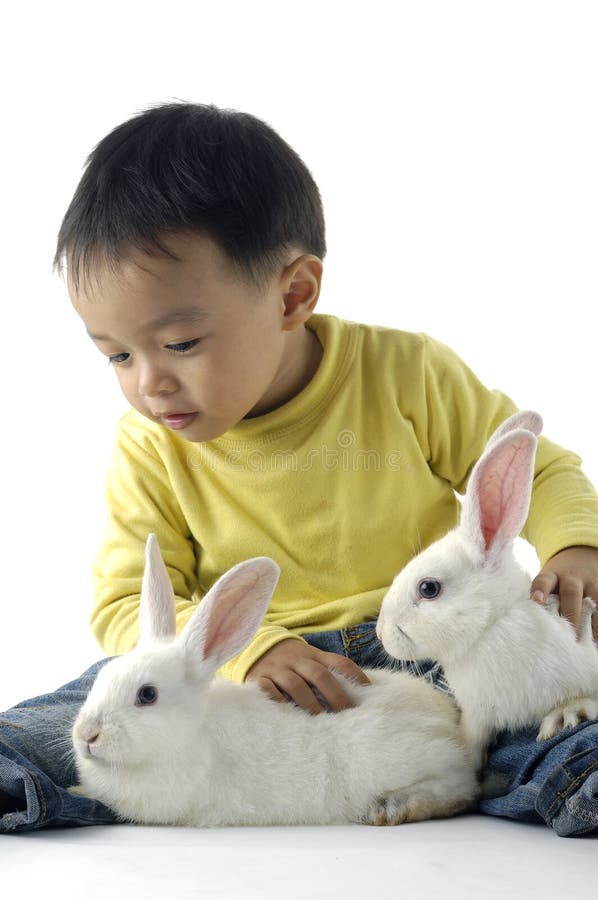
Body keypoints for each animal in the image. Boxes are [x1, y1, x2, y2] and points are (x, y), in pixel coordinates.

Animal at [70, 534, 479, 827]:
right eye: (102, 678)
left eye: (147, 695)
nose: (87, 735)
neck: (192, 732)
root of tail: (453, 723)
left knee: (462, 790)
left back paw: (392, 808)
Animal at [377, 410, 598, 765]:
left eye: (428, 589)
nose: (381, 632)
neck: (491, 627)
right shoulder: (478, 714)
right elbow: (471, 742)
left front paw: (567, 712)